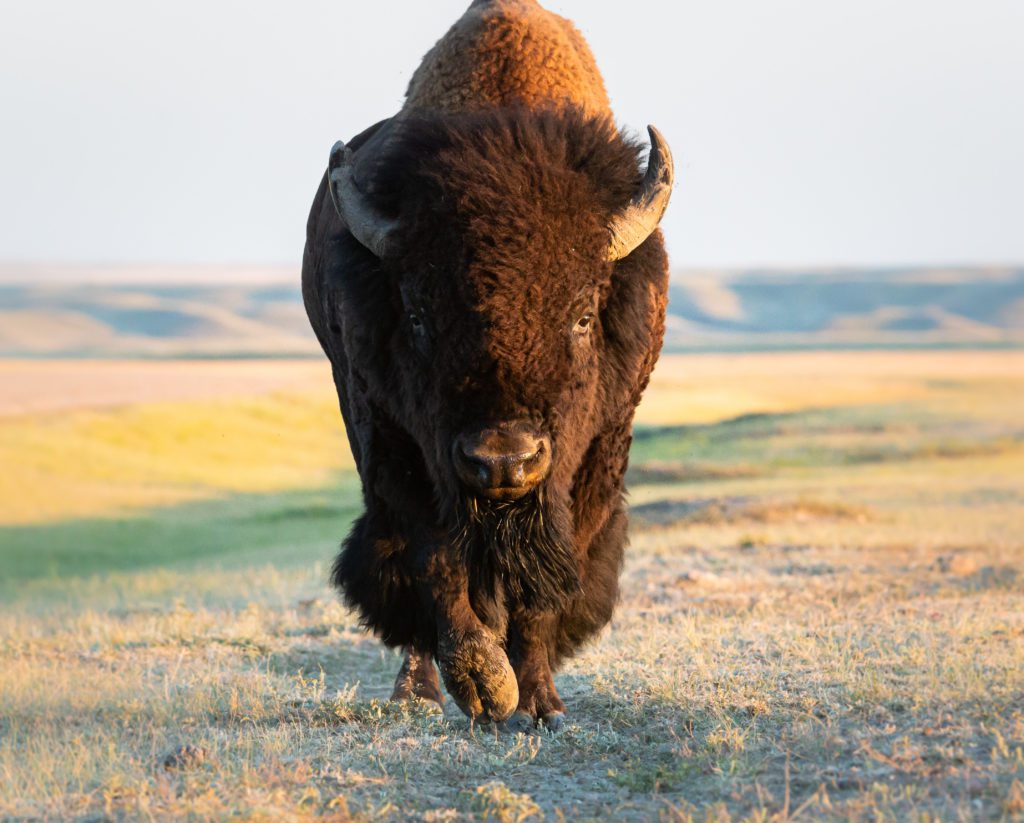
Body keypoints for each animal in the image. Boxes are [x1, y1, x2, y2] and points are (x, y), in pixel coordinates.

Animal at [302, 0, 674, 730]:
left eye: (582, 315)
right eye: (418, 314)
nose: (504, 461)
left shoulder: (591, 458)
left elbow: (543, 583)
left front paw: (539, 702)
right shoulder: (395, 440)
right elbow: (434, 558)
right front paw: (482, 683)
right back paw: (417, 691)